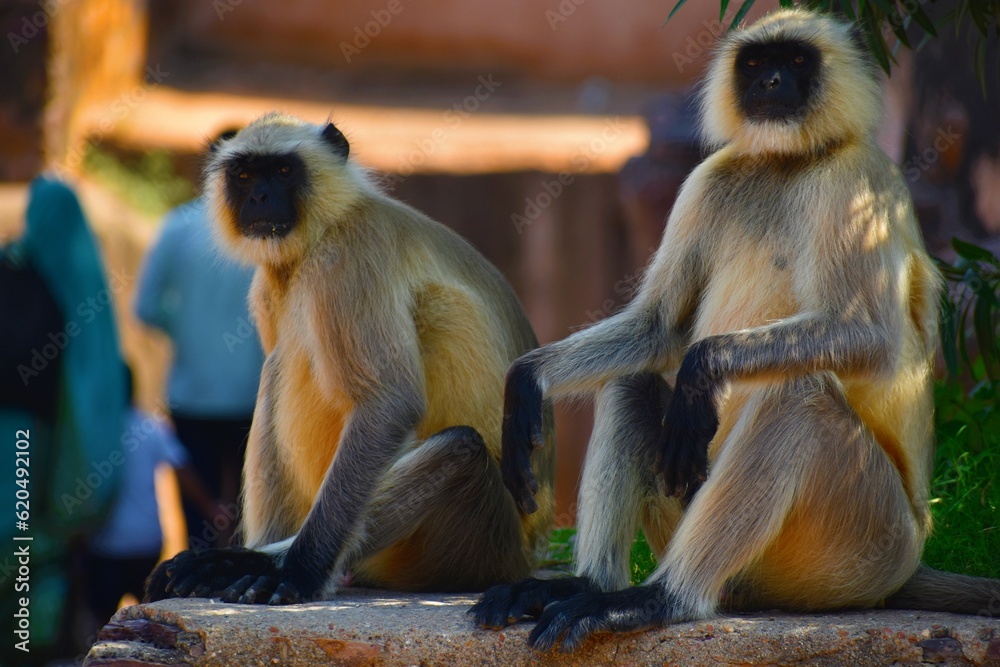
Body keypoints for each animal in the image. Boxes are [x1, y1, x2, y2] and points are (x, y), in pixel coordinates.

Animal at [144, 113, 554, 604]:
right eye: (244, 176)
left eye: (283, 171)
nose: (260, 197)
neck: (322, 231)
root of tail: (527, 553)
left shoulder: (348, 256)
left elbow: (389, 404)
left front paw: (297, 572)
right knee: (277, 366)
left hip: (479, 545)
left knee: (462, 448)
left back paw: (253, 562)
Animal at [472, 9, 1000, 652]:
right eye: (755, 63)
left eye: (795, 60)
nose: (771, 83)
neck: (787, 162)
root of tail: (909, 560)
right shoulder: (707, 179)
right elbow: (657, 328)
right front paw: (527, 380)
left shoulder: (856, 180)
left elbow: (869, 337)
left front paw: (704, 369)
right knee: (633, 382)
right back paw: (589, 586)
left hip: (865, 545)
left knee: (797, 396)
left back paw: (660, 599)